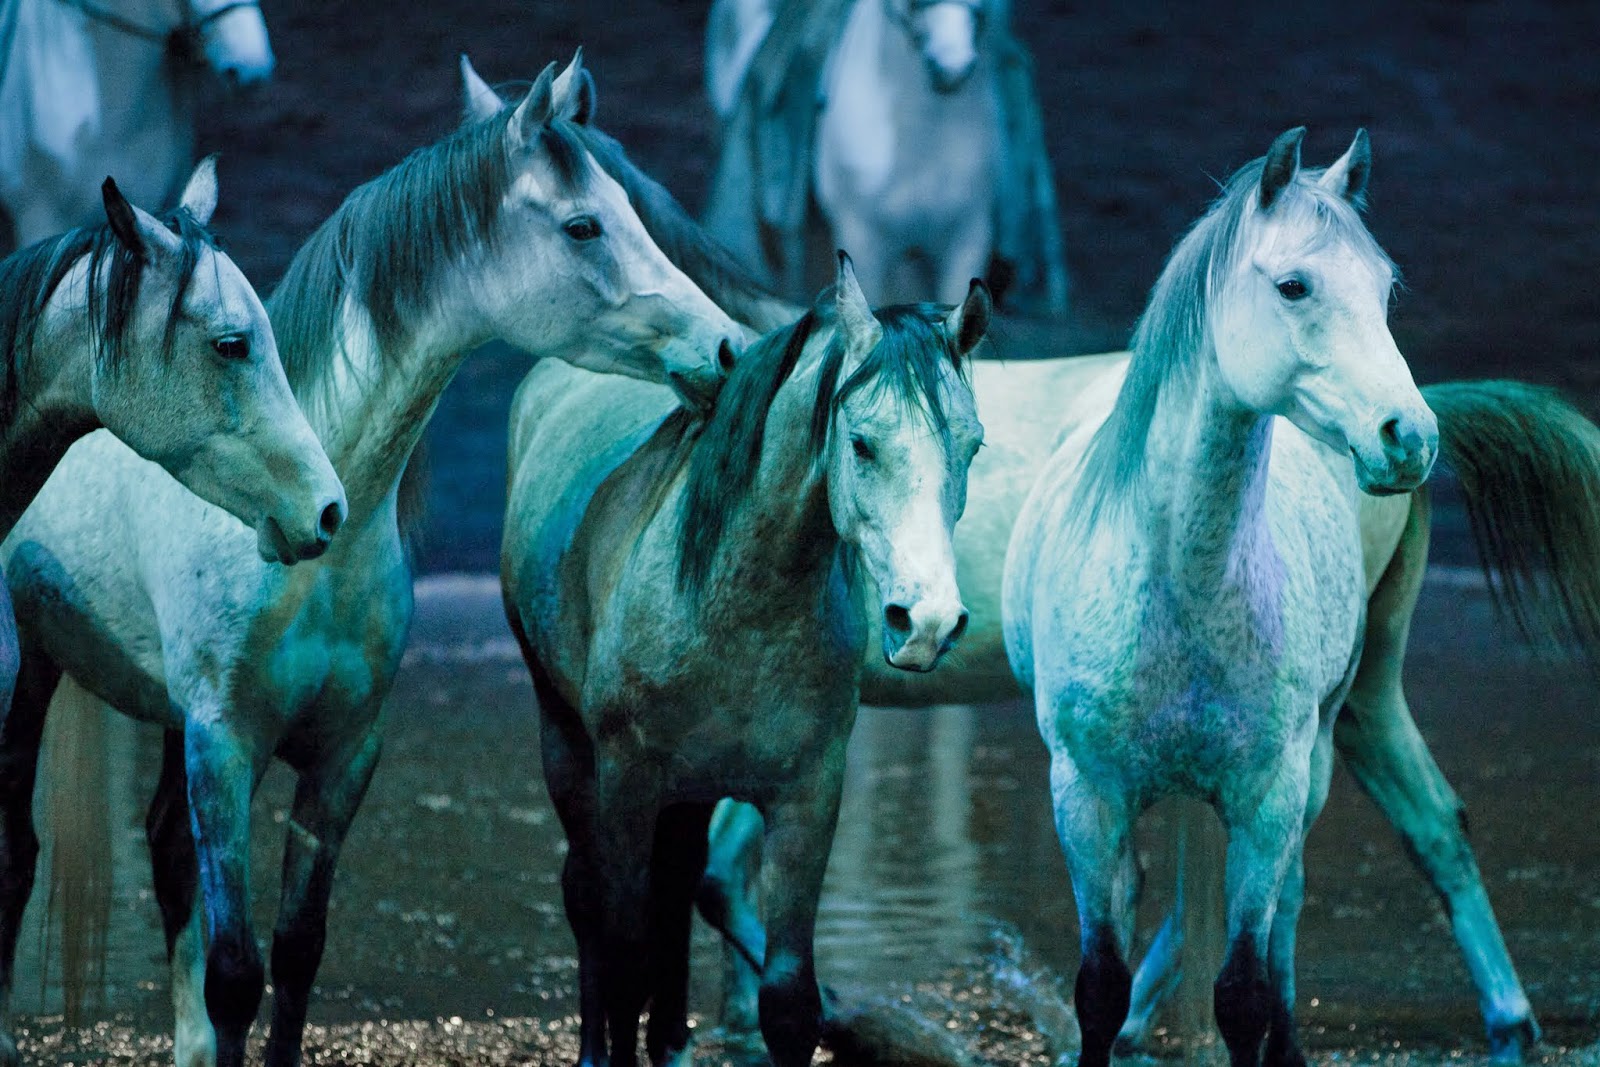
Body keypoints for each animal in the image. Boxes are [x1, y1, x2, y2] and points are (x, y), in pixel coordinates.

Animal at [0, 53, 741, 1067]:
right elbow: (236, 975)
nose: (727, 347)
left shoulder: (345, 753)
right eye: (584, 225)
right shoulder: (224, 742)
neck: (313, 550)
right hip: (33, 674)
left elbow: (296, 951)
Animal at [500, 248, 988, 1067]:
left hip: (690, 794)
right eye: (861, 442)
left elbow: (789, 1000)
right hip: (565, 743)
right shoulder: (626, 785)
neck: (735, 608)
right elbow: (623, 950)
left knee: (671, 892)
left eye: (972, 444)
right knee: (589, 901)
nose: (926, 622)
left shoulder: (806, 797)